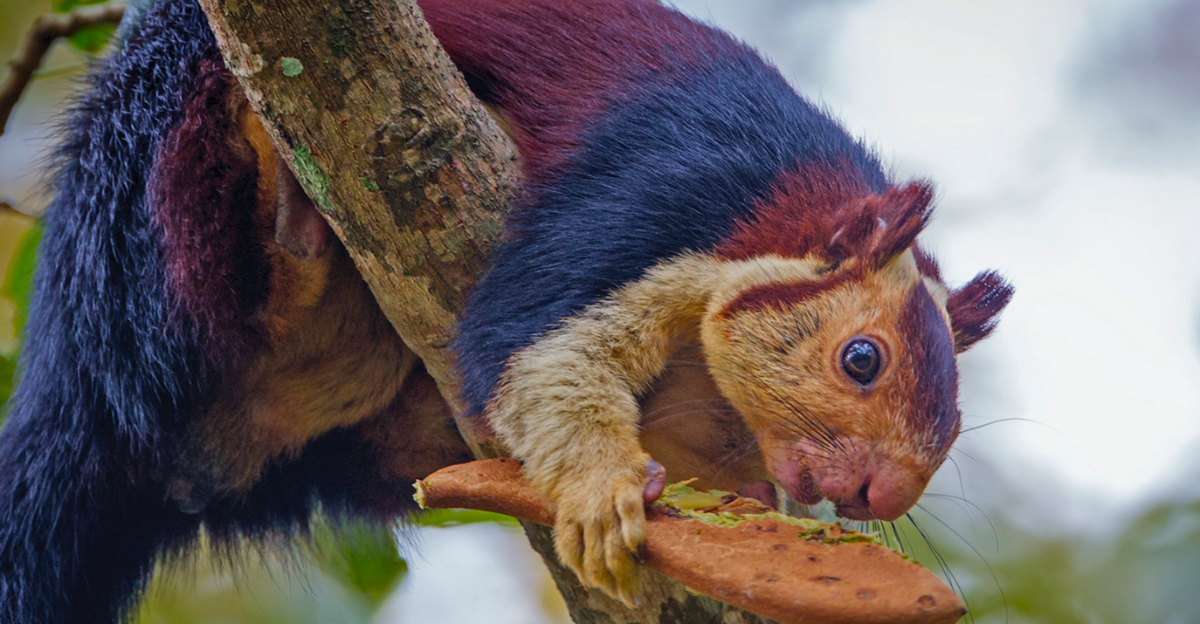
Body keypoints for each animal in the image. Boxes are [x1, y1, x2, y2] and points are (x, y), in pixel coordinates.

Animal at [0, 0, 1012, 621]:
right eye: (862, 359)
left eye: (958, 425)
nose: (884, 496)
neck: (791, 197)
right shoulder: (659, 196)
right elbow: (532, 352)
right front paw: (601, 497)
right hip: (164, 183)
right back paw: (288, 213)